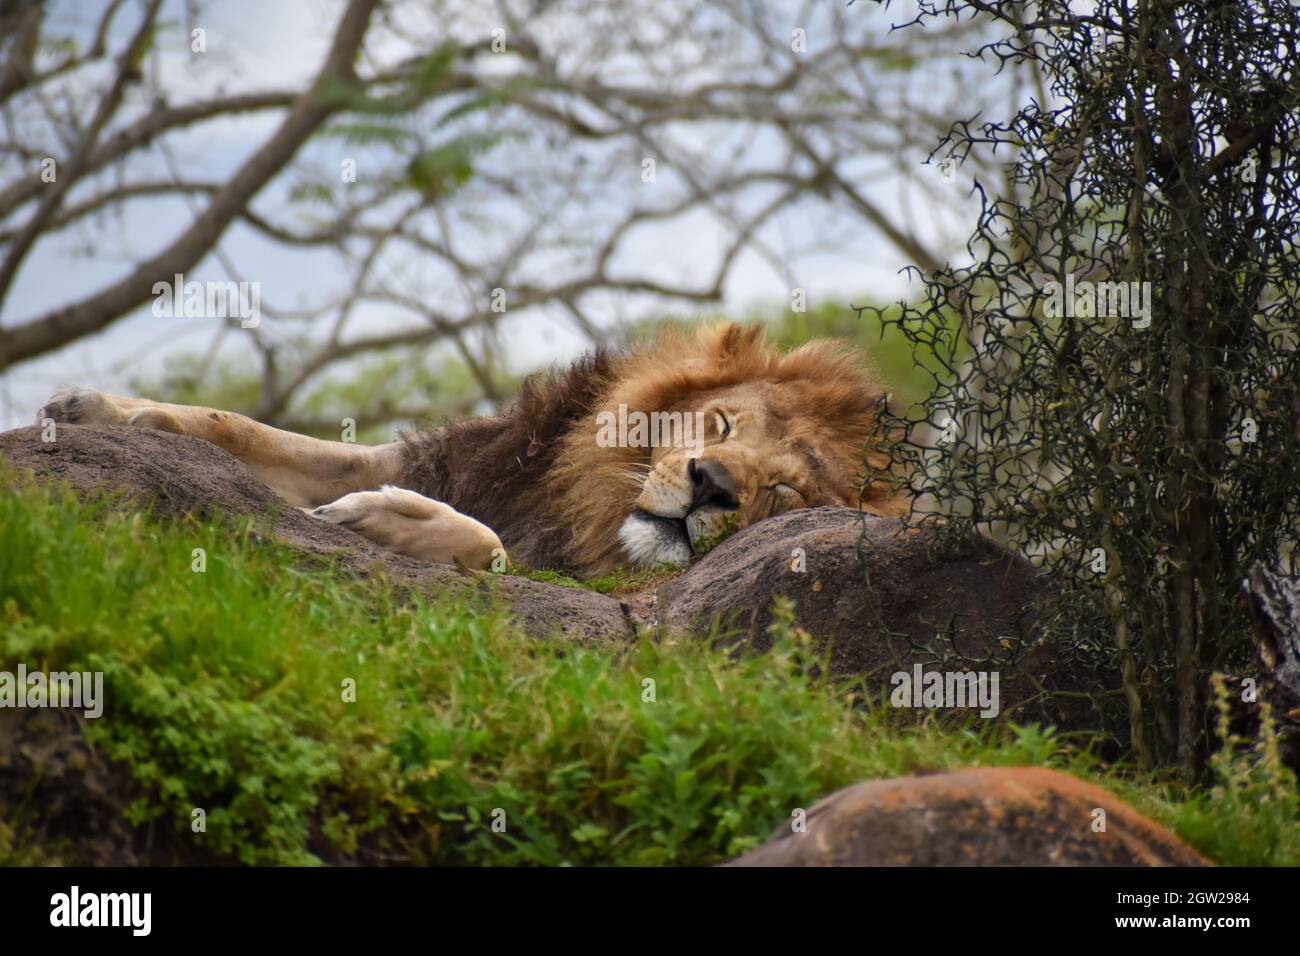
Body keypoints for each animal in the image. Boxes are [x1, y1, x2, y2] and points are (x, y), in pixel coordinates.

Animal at [35, 322, 906, 576]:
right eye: (723, 424)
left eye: (785, 494)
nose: (712, 484)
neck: (588, 501)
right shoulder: (446, 459)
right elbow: (244, 429)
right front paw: (102, 411)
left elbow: (487, 546)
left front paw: (372, 520)